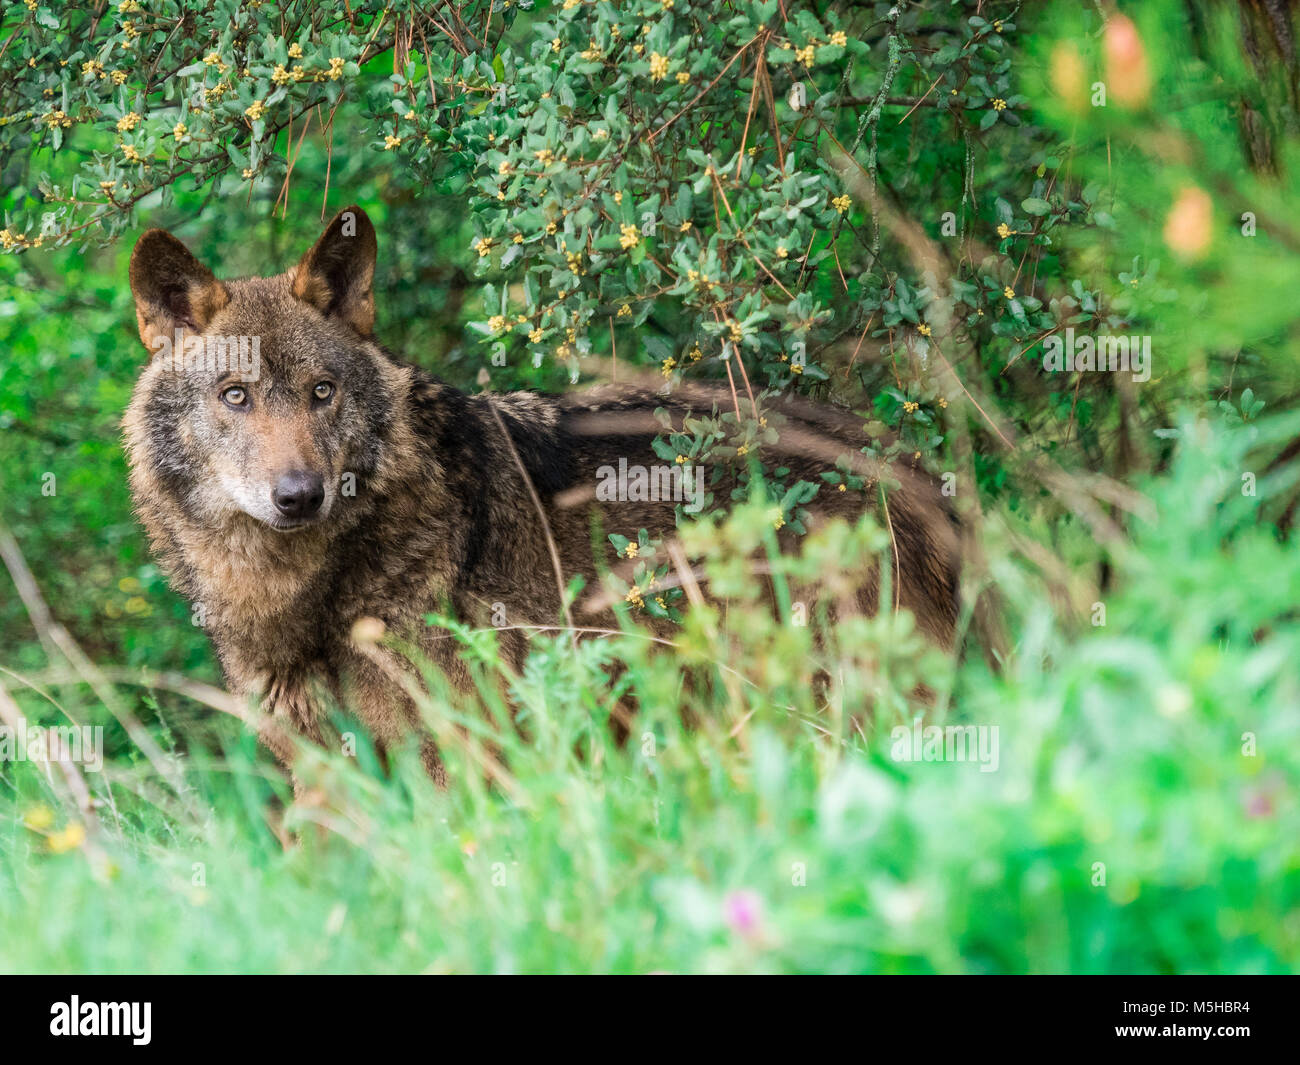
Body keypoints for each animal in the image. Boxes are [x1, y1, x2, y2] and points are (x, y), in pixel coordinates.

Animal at [123, 206, 961, 786]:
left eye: (321, 392)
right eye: (235, 395)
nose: (299, 495)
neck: (305, 591)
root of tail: (909, 462)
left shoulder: (458, 751)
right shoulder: (322, 771)